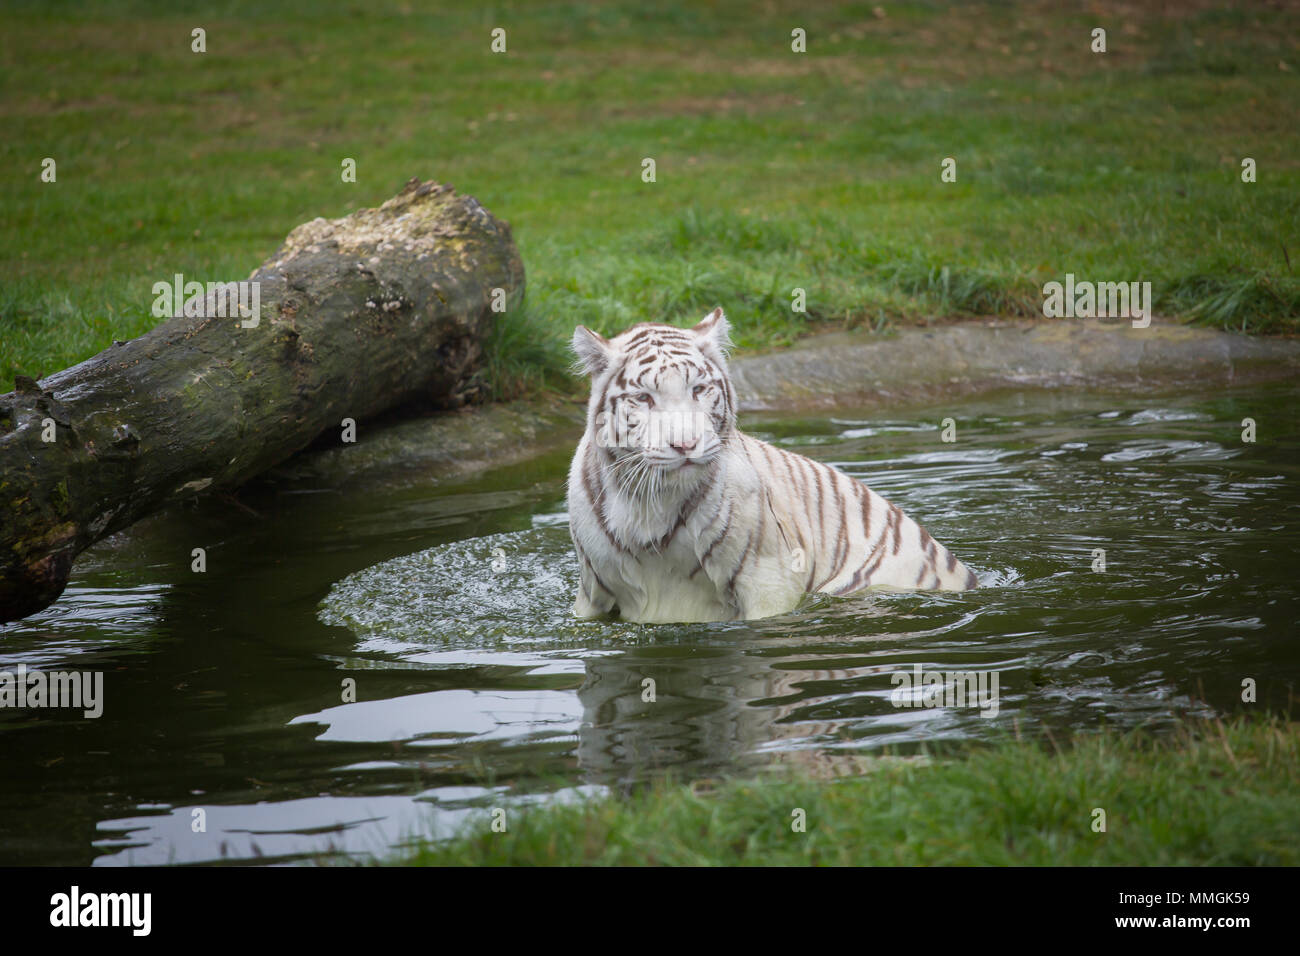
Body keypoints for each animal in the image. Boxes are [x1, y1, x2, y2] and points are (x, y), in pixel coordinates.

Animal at [566, 307, 977, 623]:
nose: (686, 444)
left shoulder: (768, 581)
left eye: (698, 390)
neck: (650, 505)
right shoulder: (591, 594)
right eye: (643, 398)